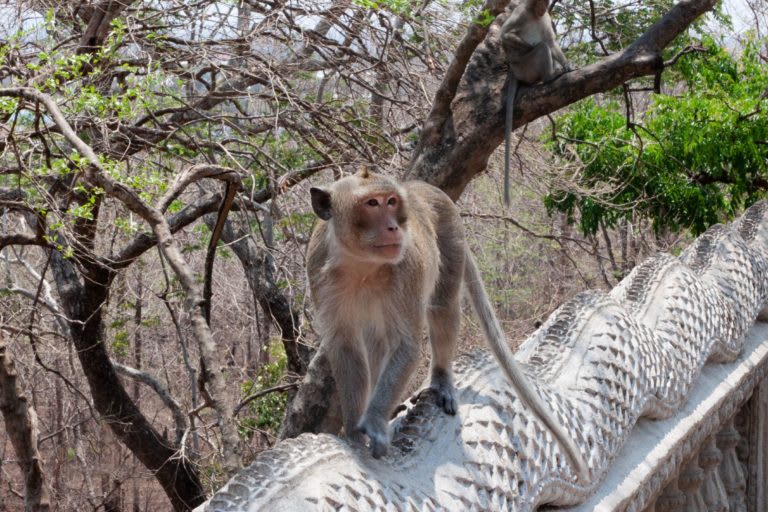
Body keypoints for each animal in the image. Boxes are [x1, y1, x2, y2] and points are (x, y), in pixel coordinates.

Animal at [306, 168, 589, 480]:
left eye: (391, 202)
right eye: (371, 203)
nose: (393, 227)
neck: (361, 263)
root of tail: (427, 188)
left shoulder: (406, 270)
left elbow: (406, 345)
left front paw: (375, 422)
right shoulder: (320, 273)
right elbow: (345, 347)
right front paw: (354, 433)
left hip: (451, 238)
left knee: (442, 308)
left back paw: (441, 379)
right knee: (377, 340)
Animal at [501, 0, 571, 204]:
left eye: (545, 4)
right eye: (539, 3)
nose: (542, 8)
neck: (533, 14)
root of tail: (516, 73)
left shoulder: (545, 17)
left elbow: (552, 42)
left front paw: (567, 65)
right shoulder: (521, 12)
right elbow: (505, 34)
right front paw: (524, 46)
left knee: (546, 46)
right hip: (526, 68)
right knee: (540, 48)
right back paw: (549, 76)